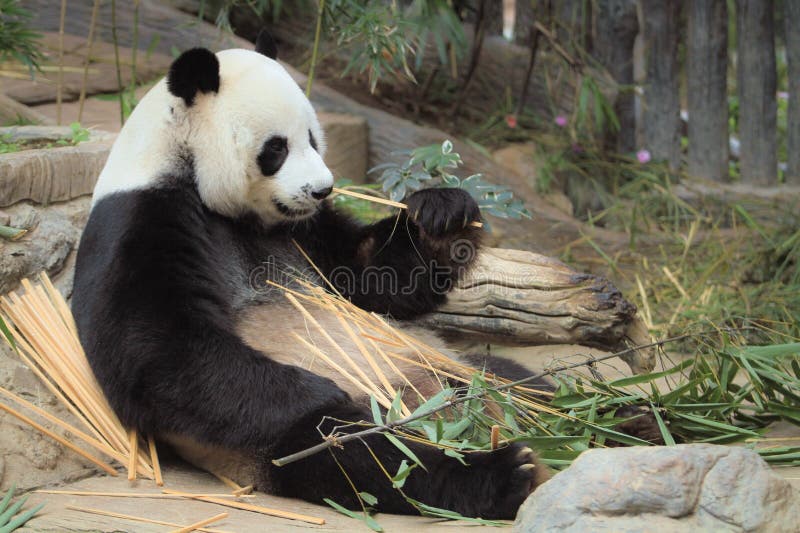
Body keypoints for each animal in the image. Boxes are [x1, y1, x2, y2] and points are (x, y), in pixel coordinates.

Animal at [72, 30, 551, 519]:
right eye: (277, 148)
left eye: (313, 139)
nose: (323, 189)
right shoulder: (141, 216)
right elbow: (153, 348)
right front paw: (325, 391)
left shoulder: (305, 233)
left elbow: (373, 281)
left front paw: (444, 212)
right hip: (268, 442)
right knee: (365, 456)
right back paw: (499, 473)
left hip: (453, 362)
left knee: (520, 380)